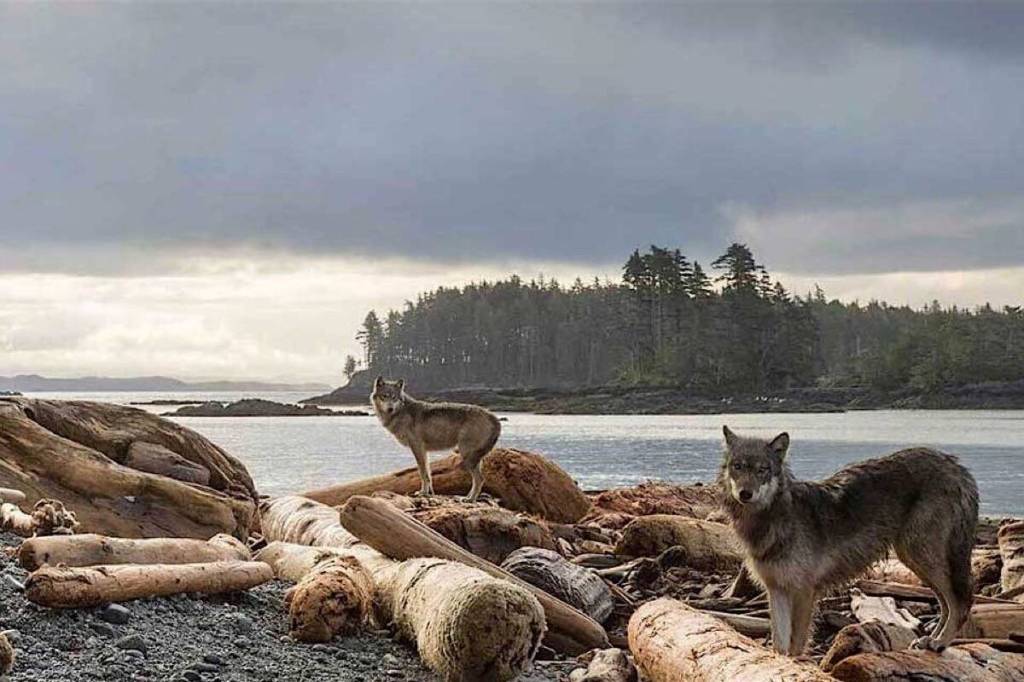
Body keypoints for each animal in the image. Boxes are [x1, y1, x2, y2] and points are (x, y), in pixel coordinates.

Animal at [371, 377, 501, 501]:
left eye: (394, 397)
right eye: (384, 396)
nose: (390, 409)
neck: (401, 412)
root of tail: (493, 416)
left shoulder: (417, 447)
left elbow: (422, 472)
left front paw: (423, 493)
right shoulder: (423, 451)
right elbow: (428, 474)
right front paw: (428, 493)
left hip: (467, 455)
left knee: (479, 479)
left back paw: (470, 499)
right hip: (473, 458)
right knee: (479, 479)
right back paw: (467, 497)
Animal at [718, 425, 978, 656]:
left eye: (763, 469)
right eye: (738, 467)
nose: (745, 493)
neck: (774, 517)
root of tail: (956, 466)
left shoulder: (804, 591)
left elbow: (795, 645)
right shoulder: (777, 590)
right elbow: (779, 644)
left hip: (922, 556)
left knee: (960, 601)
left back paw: (940, 642)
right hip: (916, 560)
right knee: (946, 603)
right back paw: (930, 640)